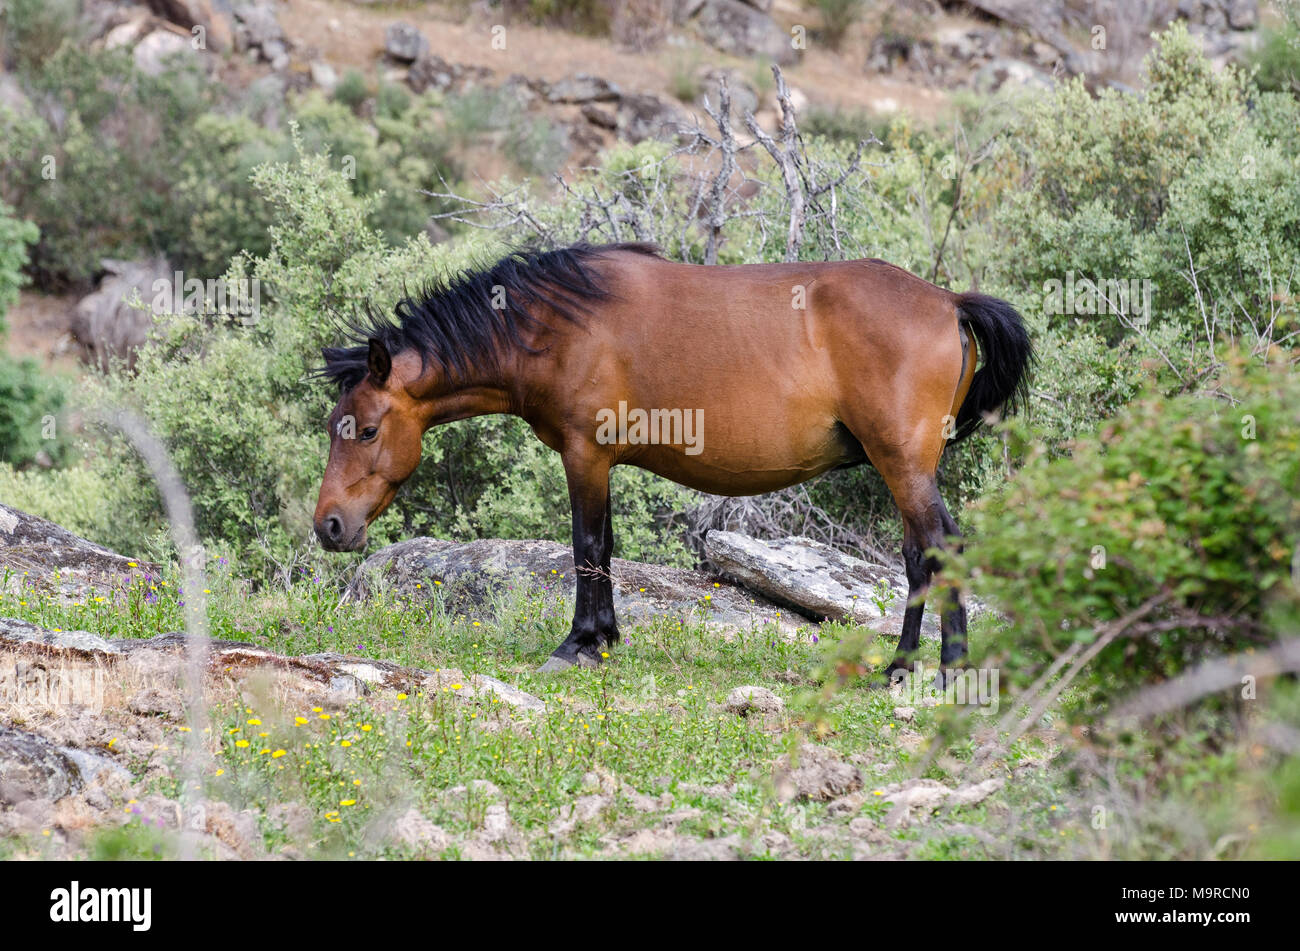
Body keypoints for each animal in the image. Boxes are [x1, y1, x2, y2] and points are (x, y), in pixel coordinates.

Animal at [313, 242, 1032, 678]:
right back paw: (906, 663)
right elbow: (604, 546)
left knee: (937, 547)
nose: (329, 526)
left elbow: (587, 545)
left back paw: (939, 666)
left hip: (902, 465)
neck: (557, 329)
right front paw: (605, 638)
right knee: (919, 554)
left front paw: (579, 644)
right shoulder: (600, 460)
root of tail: (948, 301)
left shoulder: (586, 455)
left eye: (367, 429)